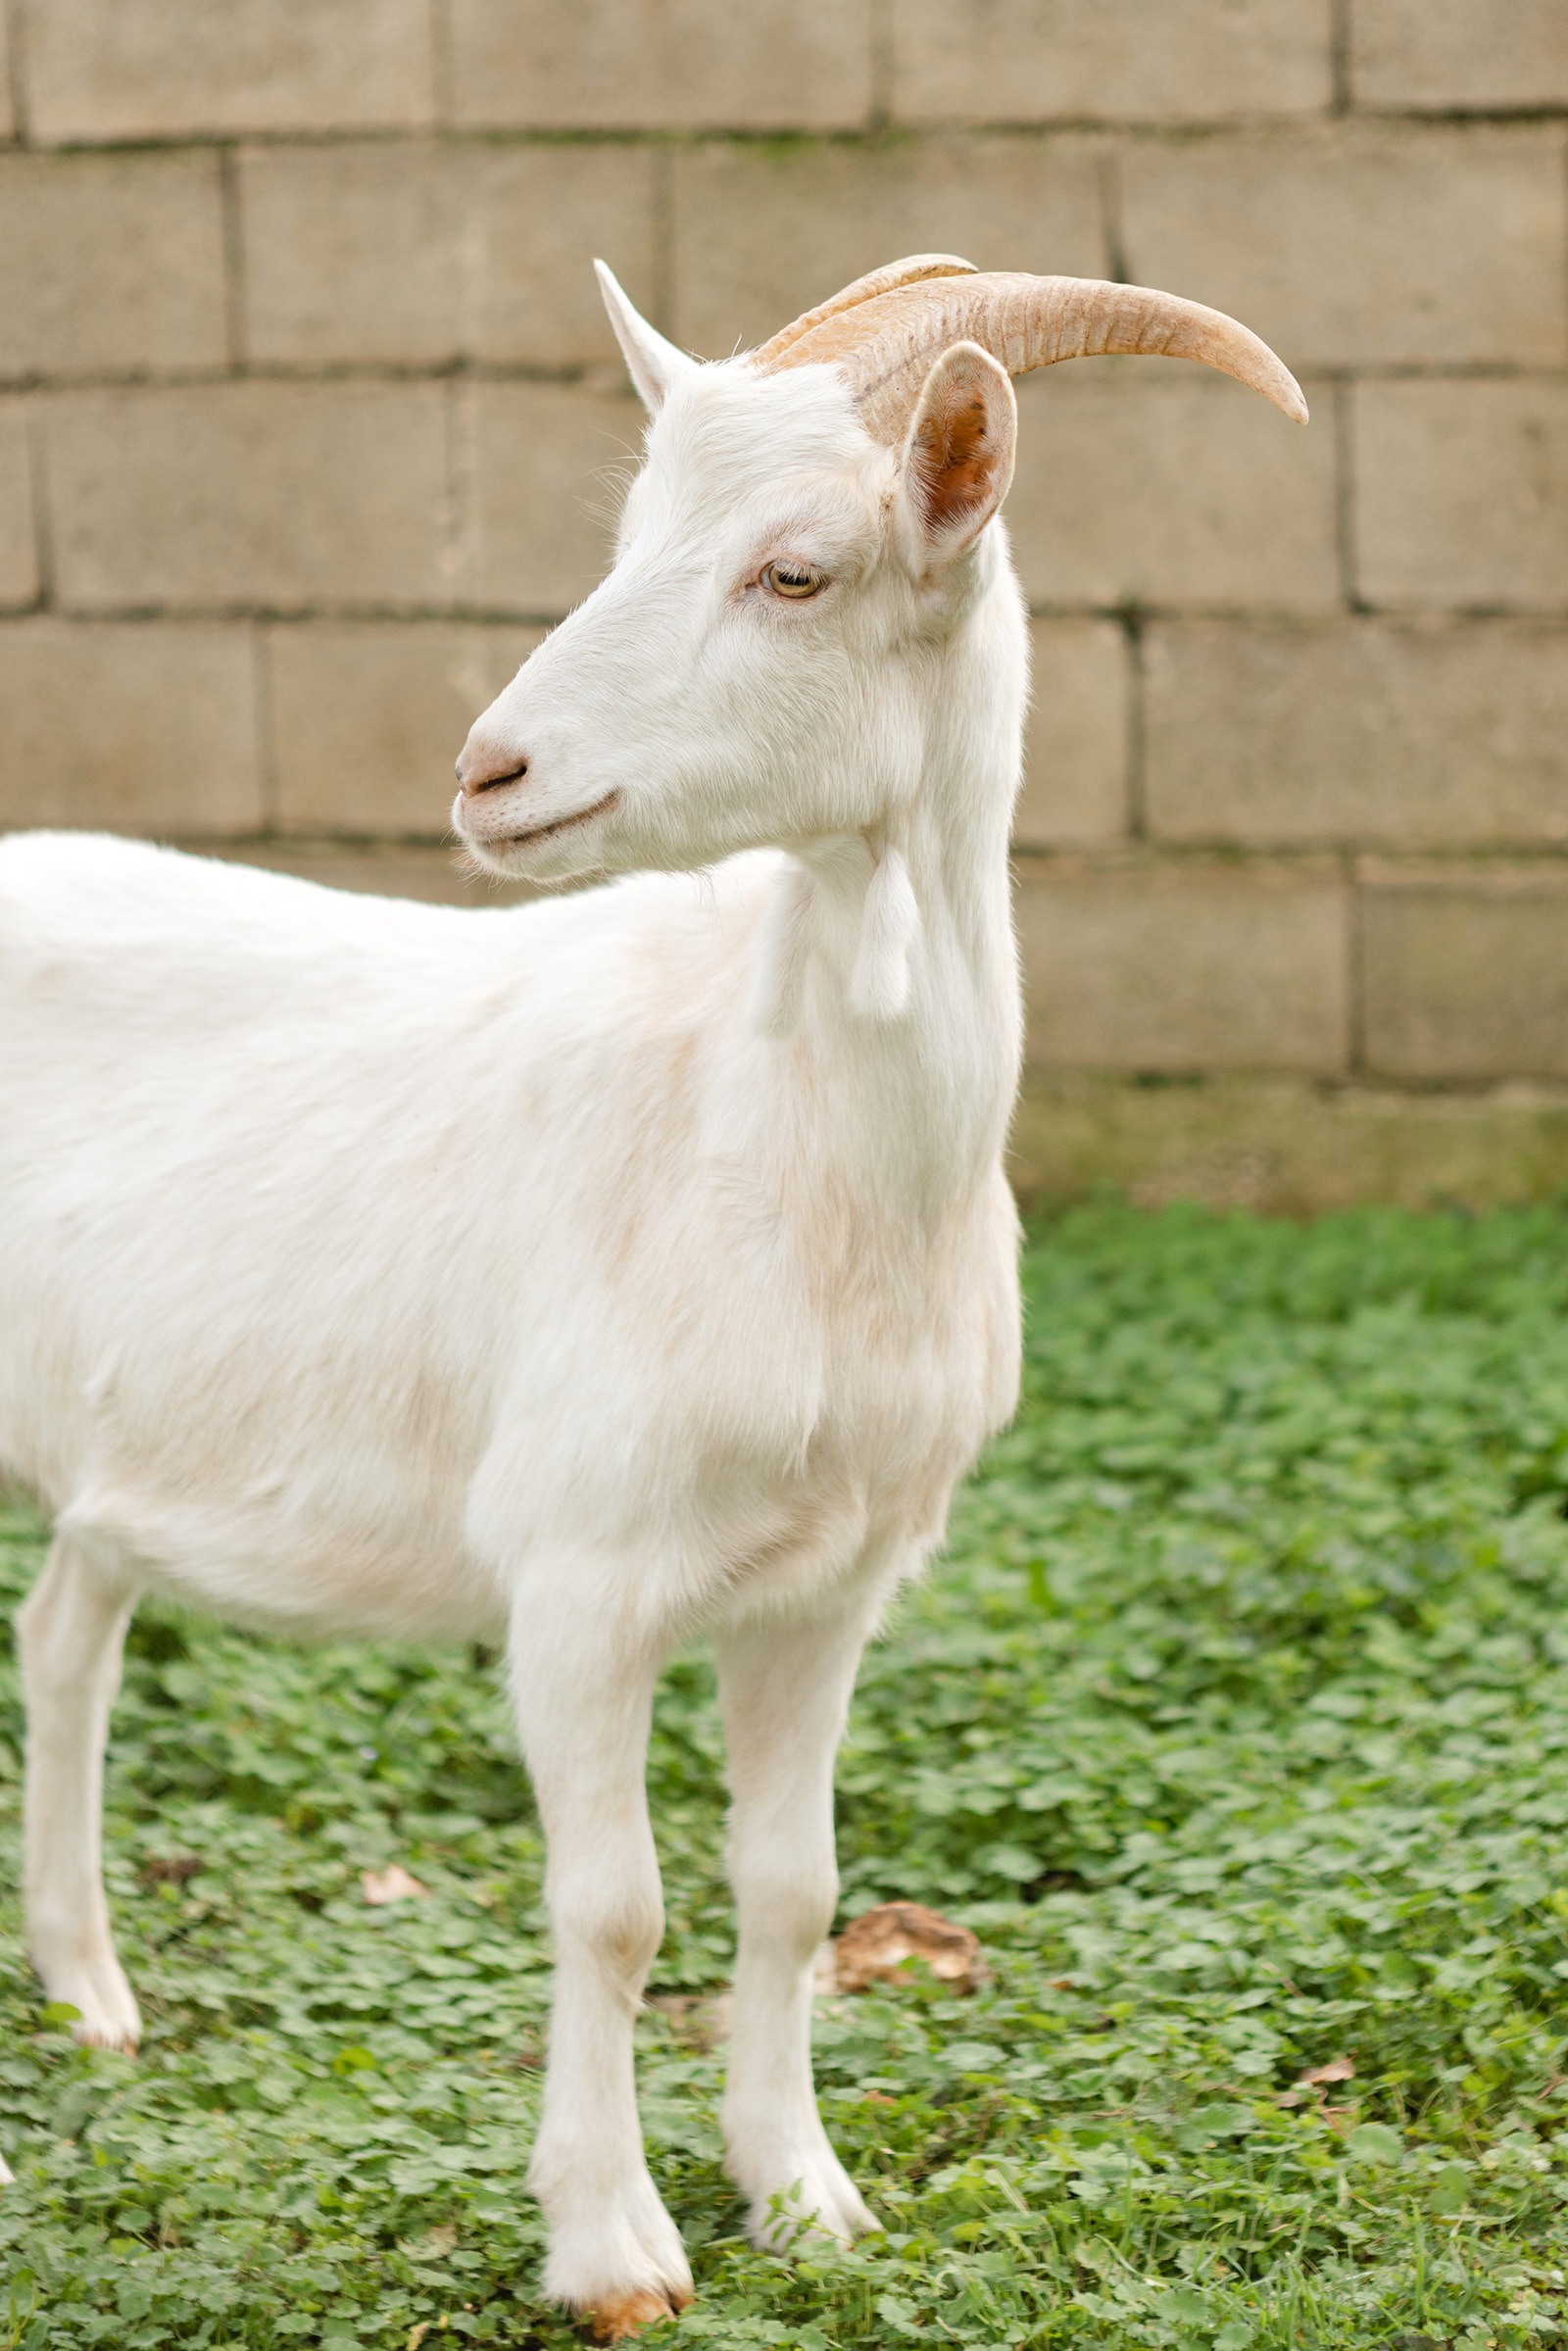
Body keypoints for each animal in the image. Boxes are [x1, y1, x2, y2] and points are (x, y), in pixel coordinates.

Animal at [0, 256, 1304, 2338]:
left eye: (795, 570)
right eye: (626, 538)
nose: (490, 771)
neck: (778, 1148)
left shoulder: (833, 1584)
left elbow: (794, 1885)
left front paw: (807, 2193)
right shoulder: (580, 1569)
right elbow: (614, 1903)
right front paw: (613, 2243)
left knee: (67, 1629)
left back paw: (90, 1994)